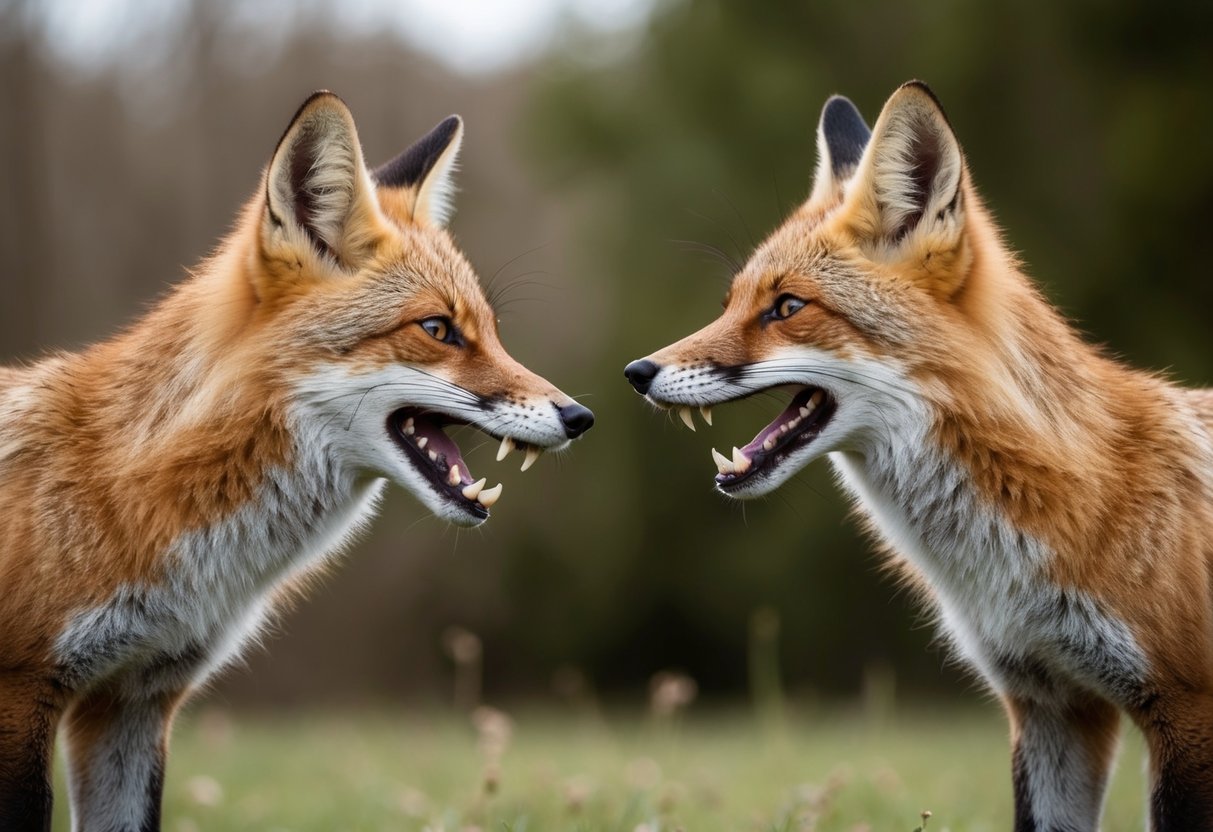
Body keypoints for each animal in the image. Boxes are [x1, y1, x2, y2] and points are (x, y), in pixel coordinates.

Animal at [0, 91, 594, 831]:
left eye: (489, 330)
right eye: (437, 329)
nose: (580, 417)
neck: (126, 484)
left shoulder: (133, 698)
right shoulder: (23, 688)